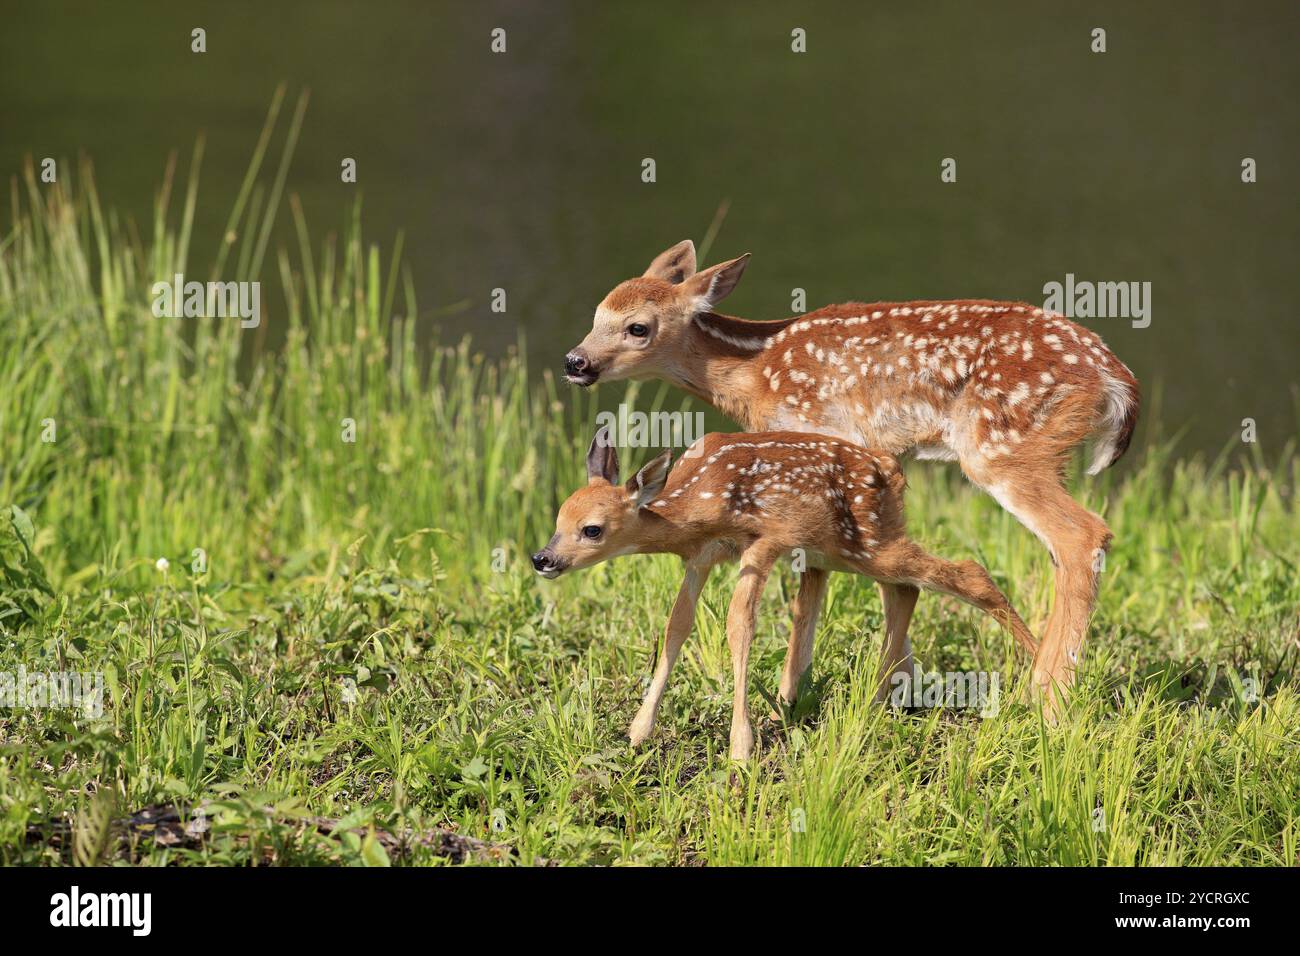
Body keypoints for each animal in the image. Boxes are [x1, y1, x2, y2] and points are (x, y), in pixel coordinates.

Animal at [532, 428, 1037, 759]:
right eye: (557, 517)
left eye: (592, 529)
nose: (543, 559)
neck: (701, 503)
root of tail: (891, 470)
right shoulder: (701, 558)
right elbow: (677, 626)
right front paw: (638, 732)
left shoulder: (767, 537)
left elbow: (739, 624)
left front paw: (740, 747)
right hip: (847, 548)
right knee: (907, 588)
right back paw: (877, 699)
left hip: (864, 541)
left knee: (967, 573)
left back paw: (1042, 673)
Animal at [564, 240, 1140, 718]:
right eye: (594, 316)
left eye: (638, 326)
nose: (575, 361)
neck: (755, 374)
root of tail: (1115, 376)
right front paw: (896, 685)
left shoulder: (829, 439)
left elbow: (815, 579)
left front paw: (795, 693)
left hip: (1001, 448)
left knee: (1083, 536)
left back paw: (1049, 696)